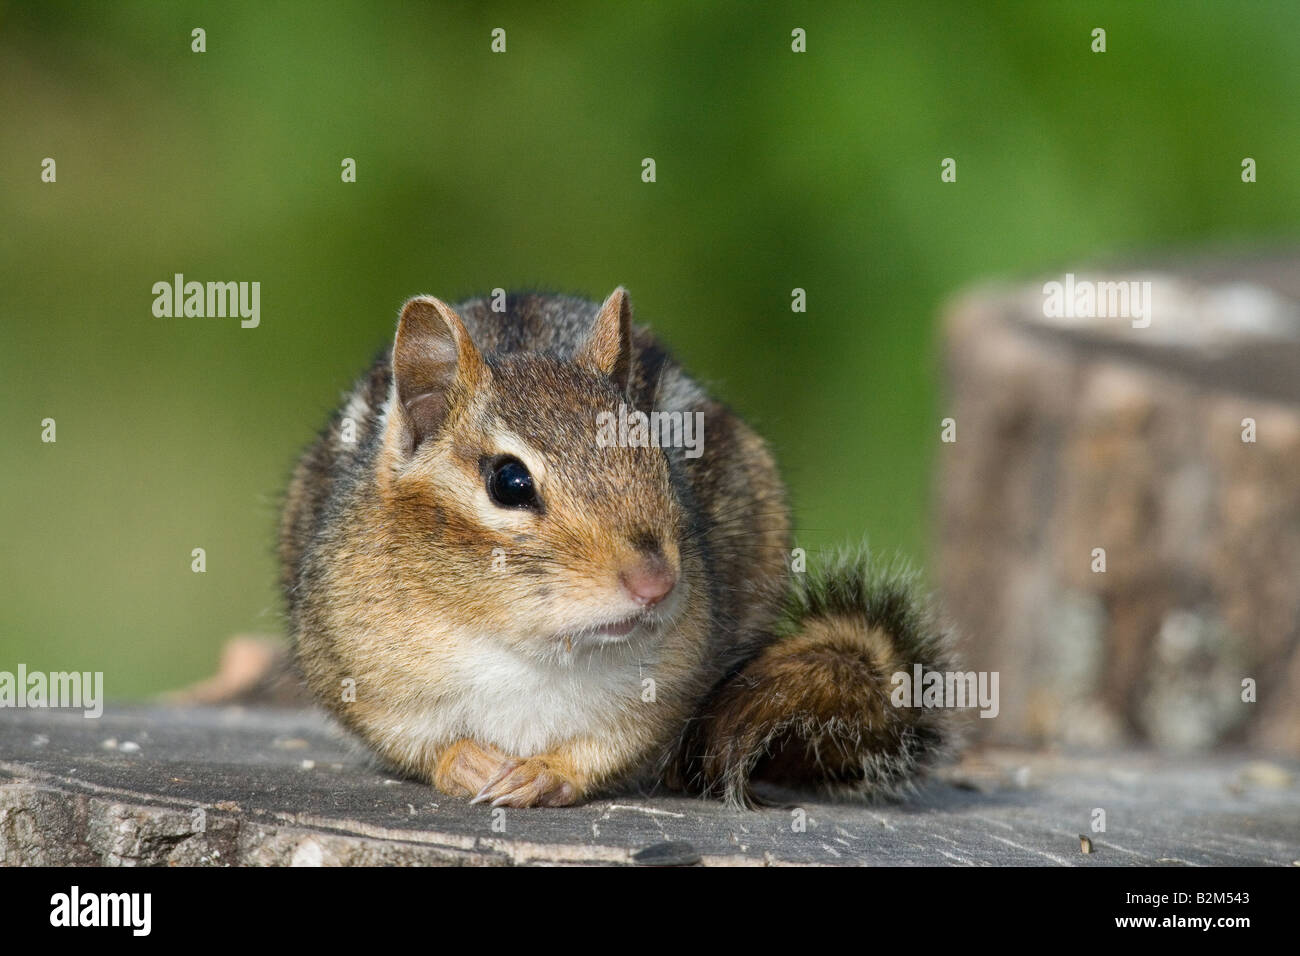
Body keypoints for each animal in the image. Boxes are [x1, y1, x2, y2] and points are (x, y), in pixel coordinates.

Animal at [280, 287, 958, 808]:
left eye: (661, 455)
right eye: (509, 482)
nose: (655, 583)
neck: (528, 652)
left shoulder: (674, 681)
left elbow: (617, 745)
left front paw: (545, 773)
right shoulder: (355, 672)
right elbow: (414, 743)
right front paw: (465, 764)